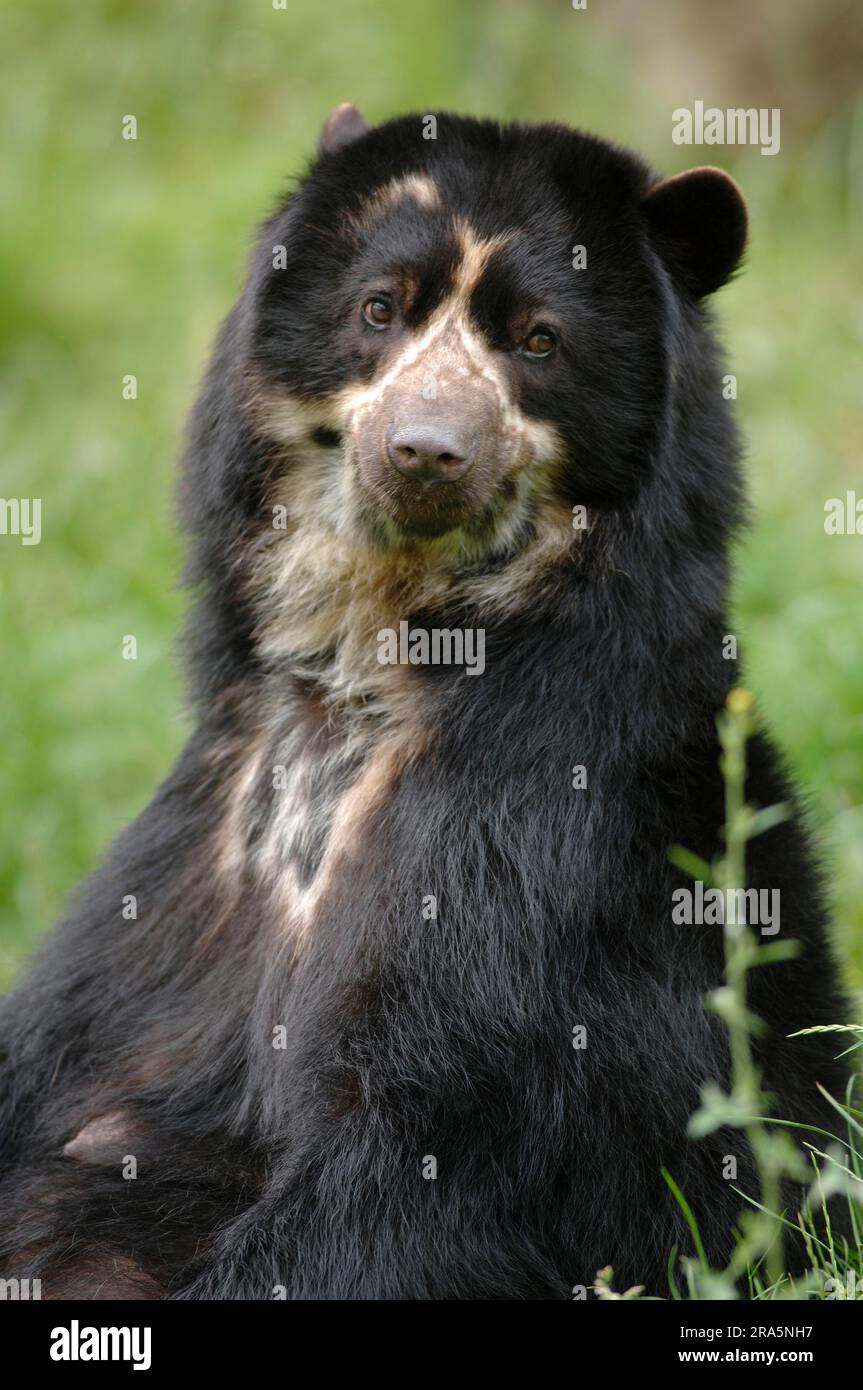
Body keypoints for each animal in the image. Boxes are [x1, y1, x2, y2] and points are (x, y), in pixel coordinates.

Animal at [0, 106, 850, 1300]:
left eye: (538, 341)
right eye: (379, 308)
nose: (425, 451)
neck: (373, 662)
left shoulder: (533, 871)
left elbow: (426, 1161)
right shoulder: (185, 872)